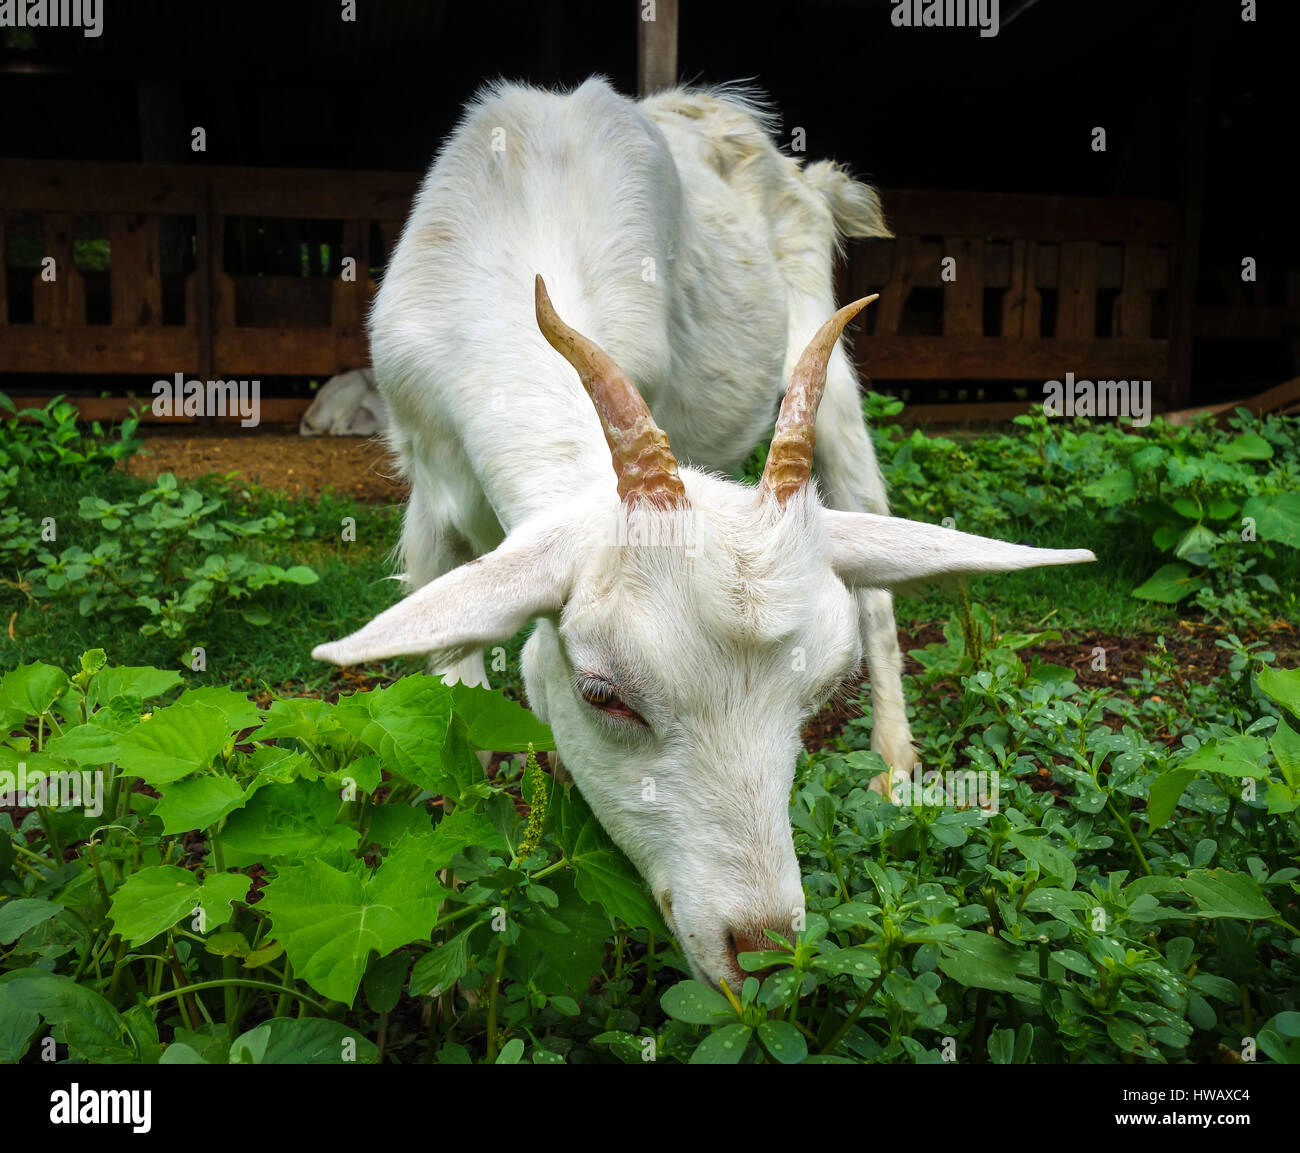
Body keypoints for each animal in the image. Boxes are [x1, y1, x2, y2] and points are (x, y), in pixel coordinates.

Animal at [313, 78, 1095, 988]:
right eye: (602, 693)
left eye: (819, 692)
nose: (761, 949)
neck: (526, 228)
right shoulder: (429, 501)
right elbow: (455, 708)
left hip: (826, 371)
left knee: (875, 576)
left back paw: (895, 761)